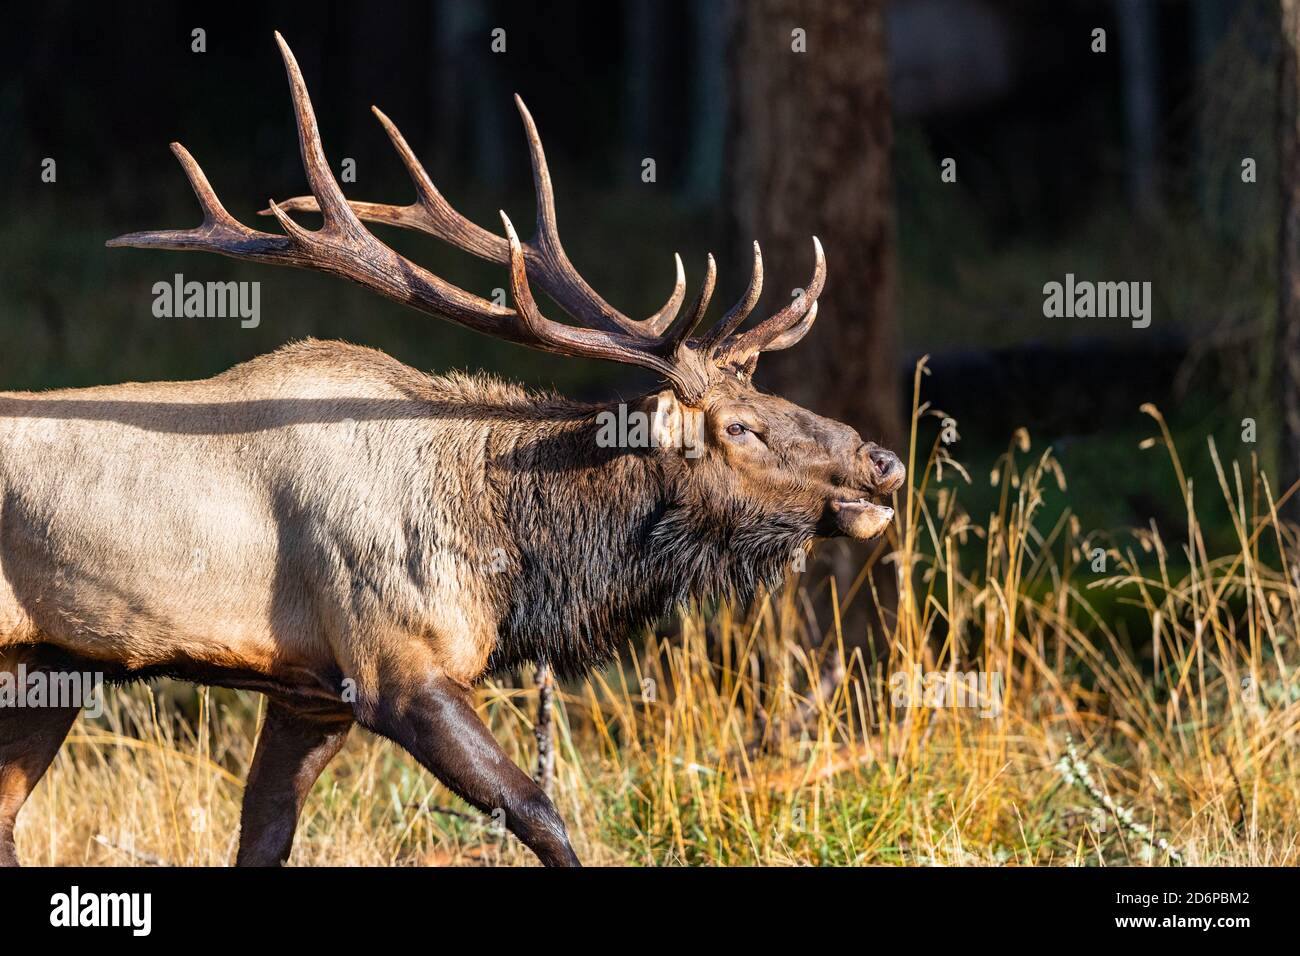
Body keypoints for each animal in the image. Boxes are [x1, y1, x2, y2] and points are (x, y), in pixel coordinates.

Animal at [0, 34, 903, 868]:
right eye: (738, 427)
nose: (880, 461)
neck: (508, 550)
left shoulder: (313, 693)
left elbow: (265, 837)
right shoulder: (400, 667)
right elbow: (539, 811)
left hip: (45, 667)